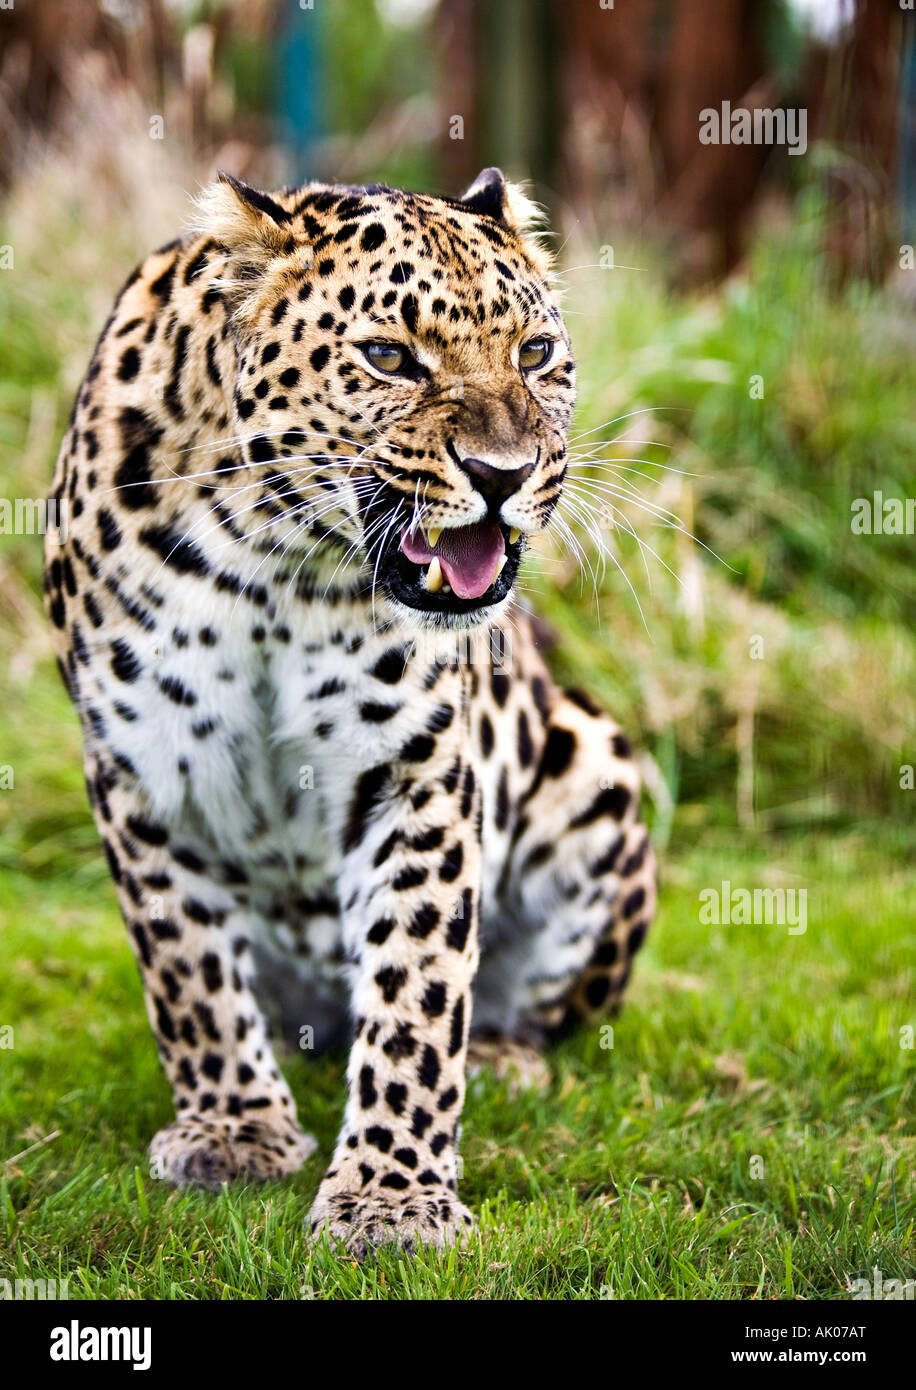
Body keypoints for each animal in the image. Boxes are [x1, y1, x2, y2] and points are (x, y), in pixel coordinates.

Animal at [44, 165, 656, 1258]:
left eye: (534, 354)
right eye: (389, 358)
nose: (502, 477)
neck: (272, 558)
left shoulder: (415, 767)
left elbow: (417, 987)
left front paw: (392, 1196)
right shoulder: (140, 764)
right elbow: (186, 966)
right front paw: (234, 1131)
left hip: (597, 764)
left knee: (528, 1010)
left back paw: (503, 1057)